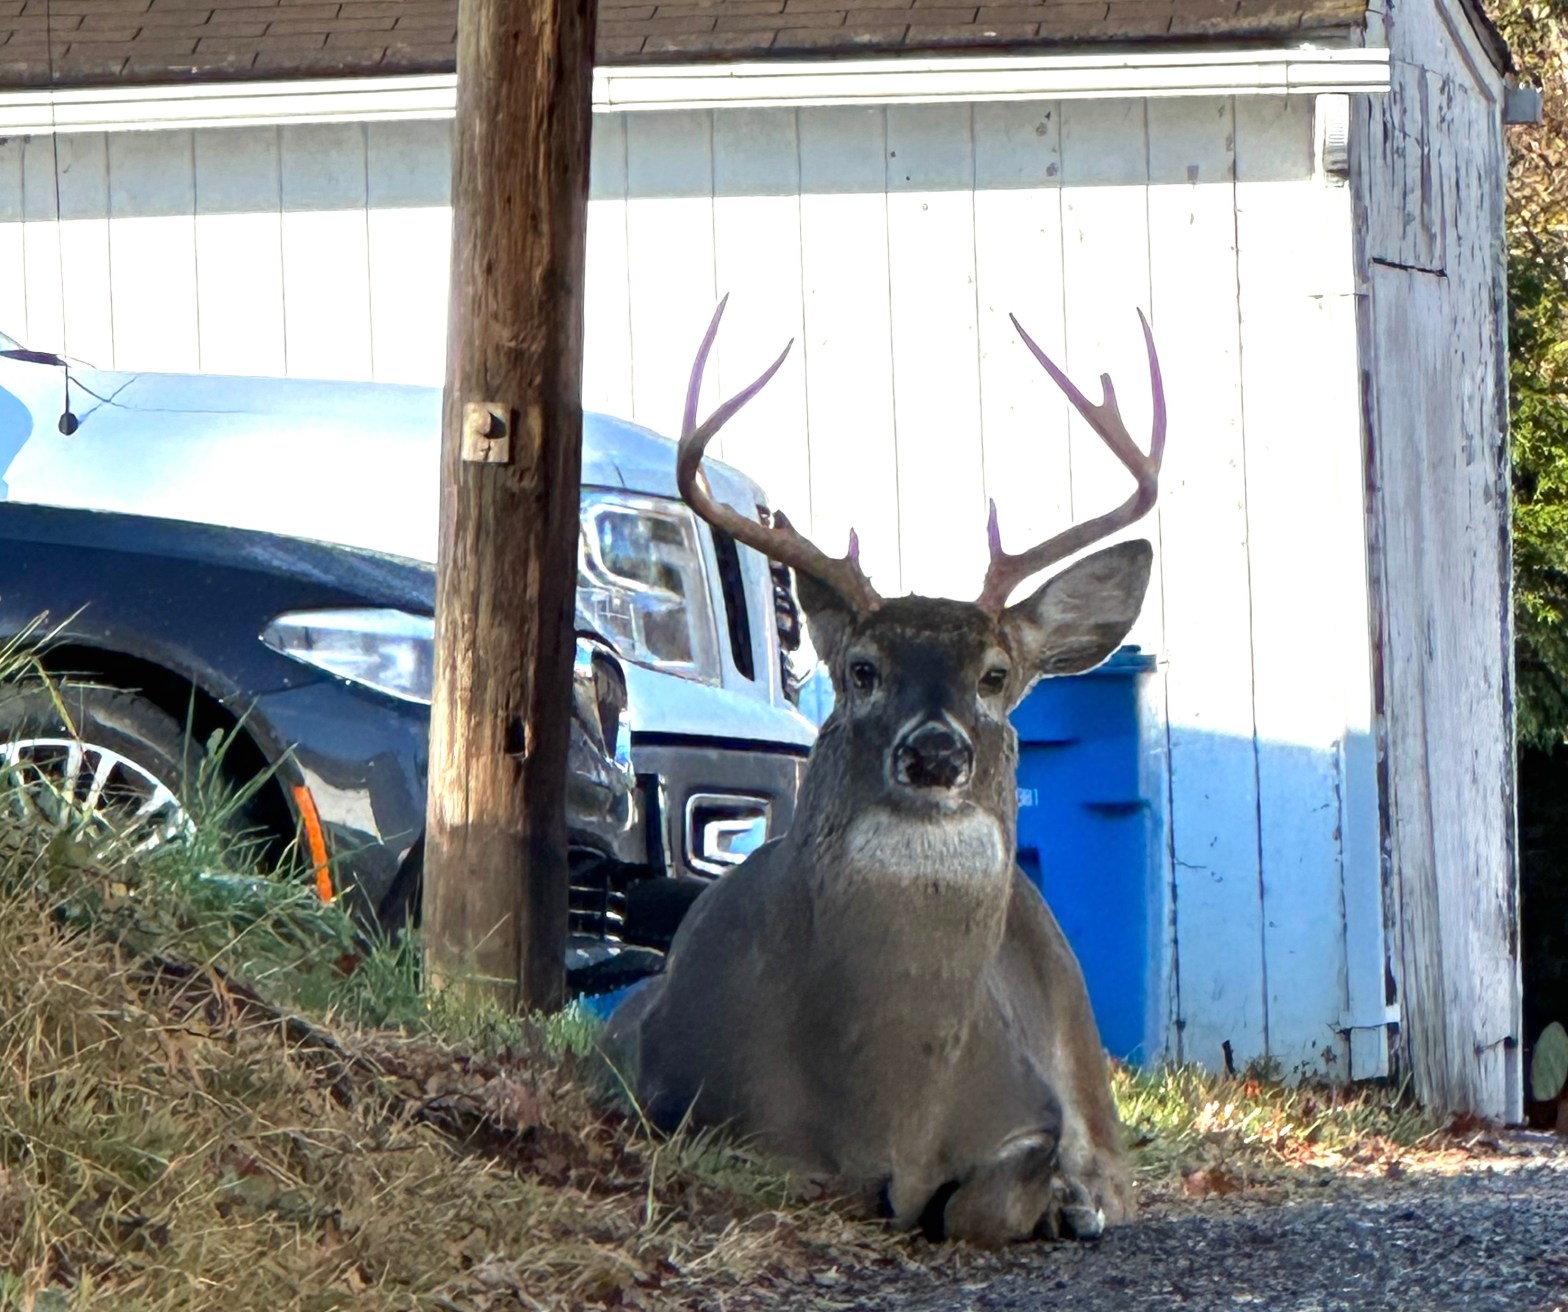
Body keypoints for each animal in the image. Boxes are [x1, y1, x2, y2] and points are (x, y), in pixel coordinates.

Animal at [602, 298, 1164, 1247]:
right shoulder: (717, 1114)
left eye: (995, 675)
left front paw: (1060, 1201)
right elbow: (817, 1182)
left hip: (1083, 1032)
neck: (893, 1106)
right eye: (863, 670)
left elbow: (988, 1196)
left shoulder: (1029, 1112)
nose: (935, 752)